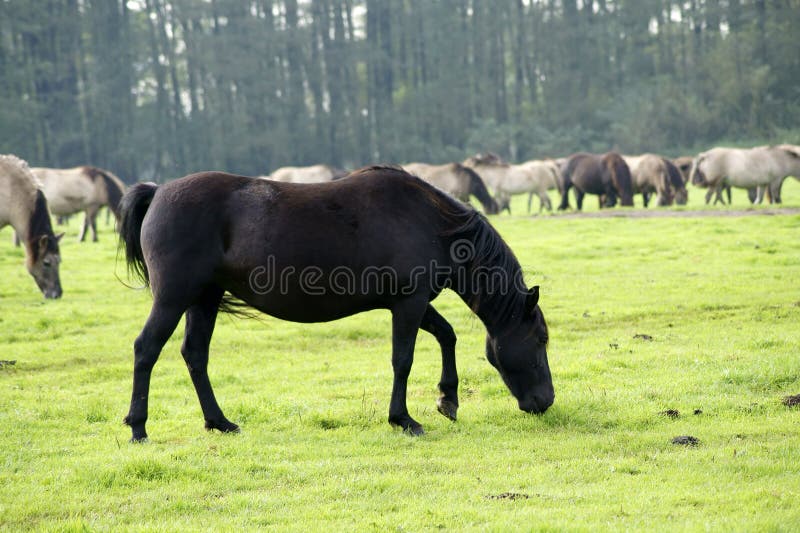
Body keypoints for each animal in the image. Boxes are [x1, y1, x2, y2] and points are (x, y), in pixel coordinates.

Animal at [118, 165, 553, 442]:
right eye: (540, 340)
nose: (546, 401)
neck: (432, 223)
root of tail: (158, 192)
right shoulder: (408, 304)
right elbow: (403, 360)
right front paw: (403, 419)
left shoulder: (411, 302)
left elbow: (447, 335)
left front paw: (447, 399)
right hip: (173, 299)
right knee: (146, 349)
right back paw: (138, 427)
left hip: (204, 300)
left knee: (195, 355)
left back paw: (219, 422)